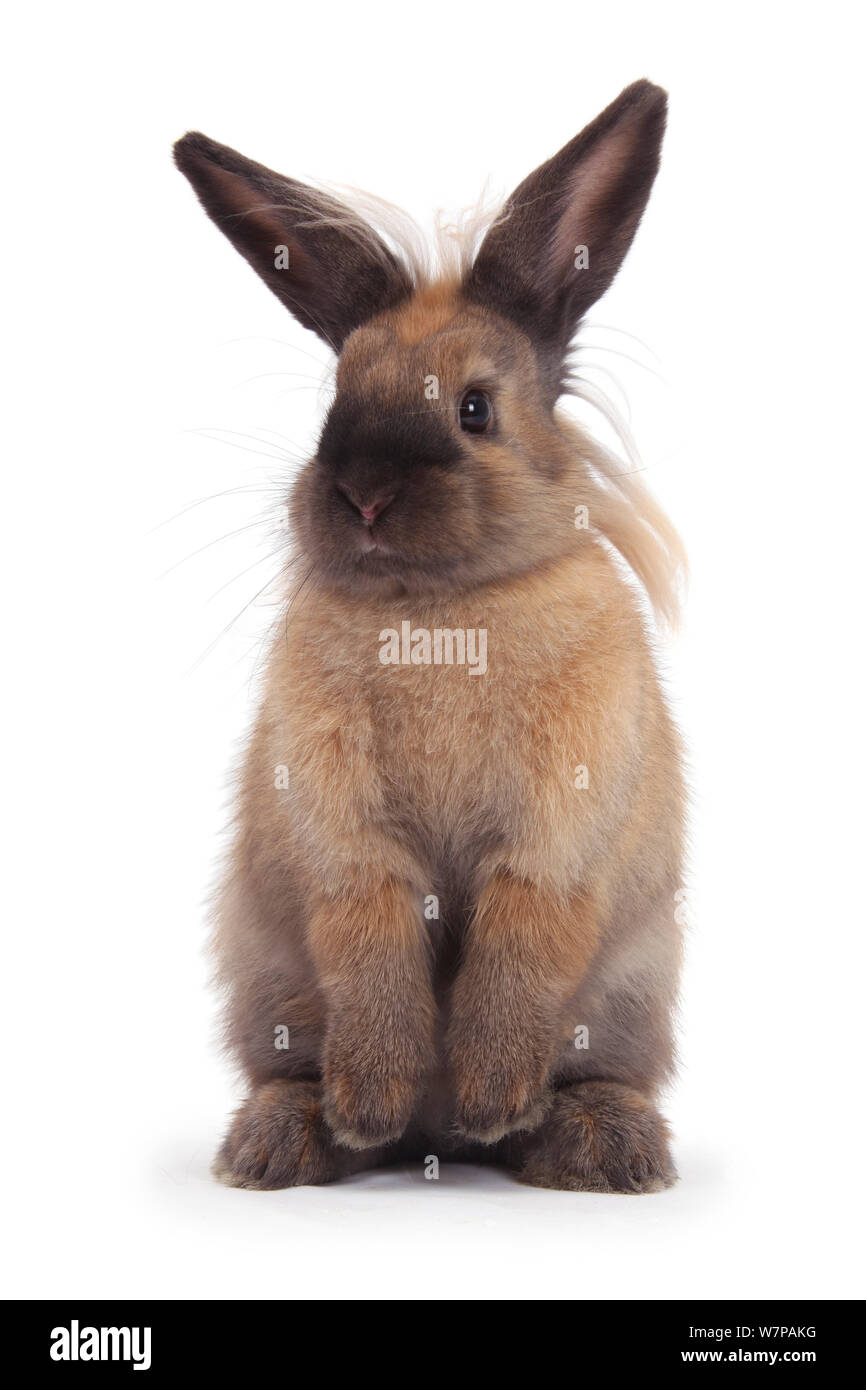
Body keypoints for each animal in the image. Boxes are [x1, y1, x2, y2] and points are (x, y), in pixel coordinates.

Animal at [174, 78, 687, 1193]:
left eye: (475, 410)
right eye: (335, 402)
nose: (364, 493)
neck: (438, 612)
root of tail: (435, 1141)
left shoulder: (558, 831)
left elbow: (521, 926)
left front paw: (495, 1090)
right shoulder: (341, 832)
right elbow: (371, 931)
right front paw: (370, 1099)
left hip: (630, 992)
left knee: (595, 1071)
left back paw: (582, 1142)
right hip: (270, 986)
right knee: (291, 1063)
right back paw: (299, 1138)